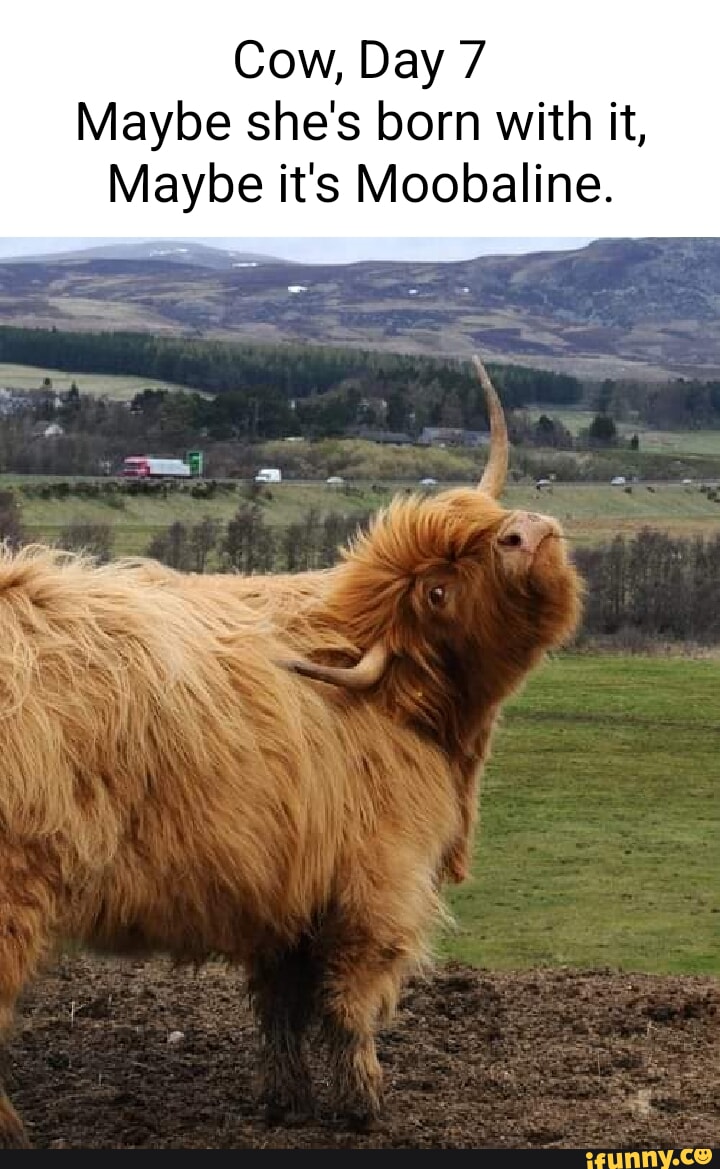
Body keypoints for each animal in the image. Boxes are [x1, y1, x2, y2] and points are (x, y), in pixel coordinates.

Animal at [0, 358, 582, 1147]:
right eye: (438, 590)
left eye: (485, 524)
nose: (527, 533)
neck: (418, 710)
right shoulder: (379, 885)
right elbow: (348, 1006)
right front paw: (364, 1106)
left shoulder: (287, 887)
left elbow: (281, 1007)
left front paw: (285, 1103)